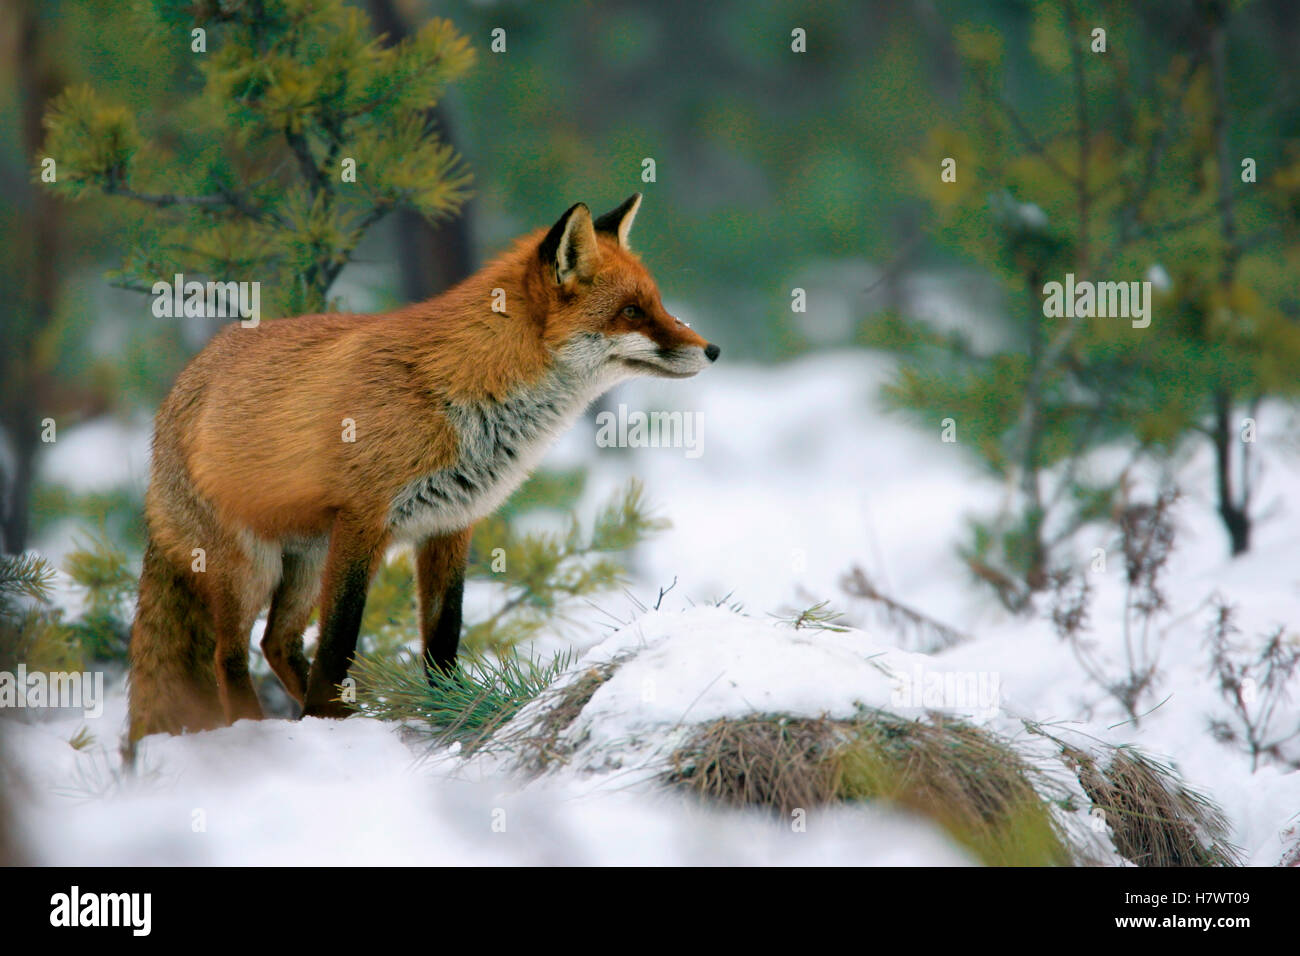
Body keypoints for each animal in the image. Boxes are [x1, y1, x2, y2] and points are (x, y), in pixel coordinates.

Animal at [127, 194, 719, 741]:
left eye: (657, 303)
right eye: (632, 312)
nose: (712, 349)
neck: (469, 395)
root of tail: (172, 400)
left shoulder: (450, 525)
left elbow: (442, 636)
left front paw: (444, 713)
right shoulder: (363, 521)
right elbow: (339, 642)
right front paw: (329, 725)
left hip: (305, 562)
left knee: (276, 642)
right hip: (250, 569)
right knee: (228, 656)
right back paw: (263, 731)